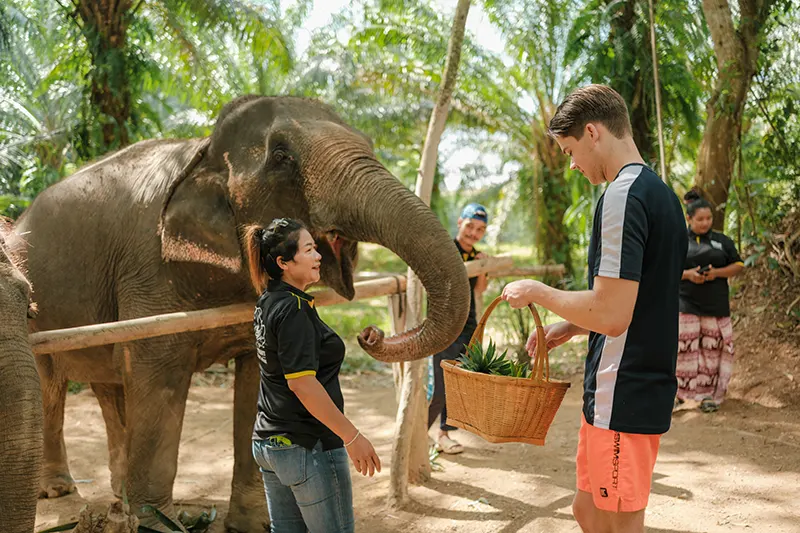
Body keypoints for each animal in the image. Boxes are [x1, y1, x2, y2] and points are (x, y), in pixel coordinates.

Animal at [13, 96, 471, 532]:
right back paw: (59, 490)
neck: (201, 151)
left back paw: (115, 492)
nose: (369, 334)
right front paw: (159, 526)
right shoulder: (147, 269)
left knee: (109, 387)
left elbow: (256, 383)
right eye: (282, 156)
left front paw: (254, 523)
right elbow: (158, 378)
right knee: (52, 385)